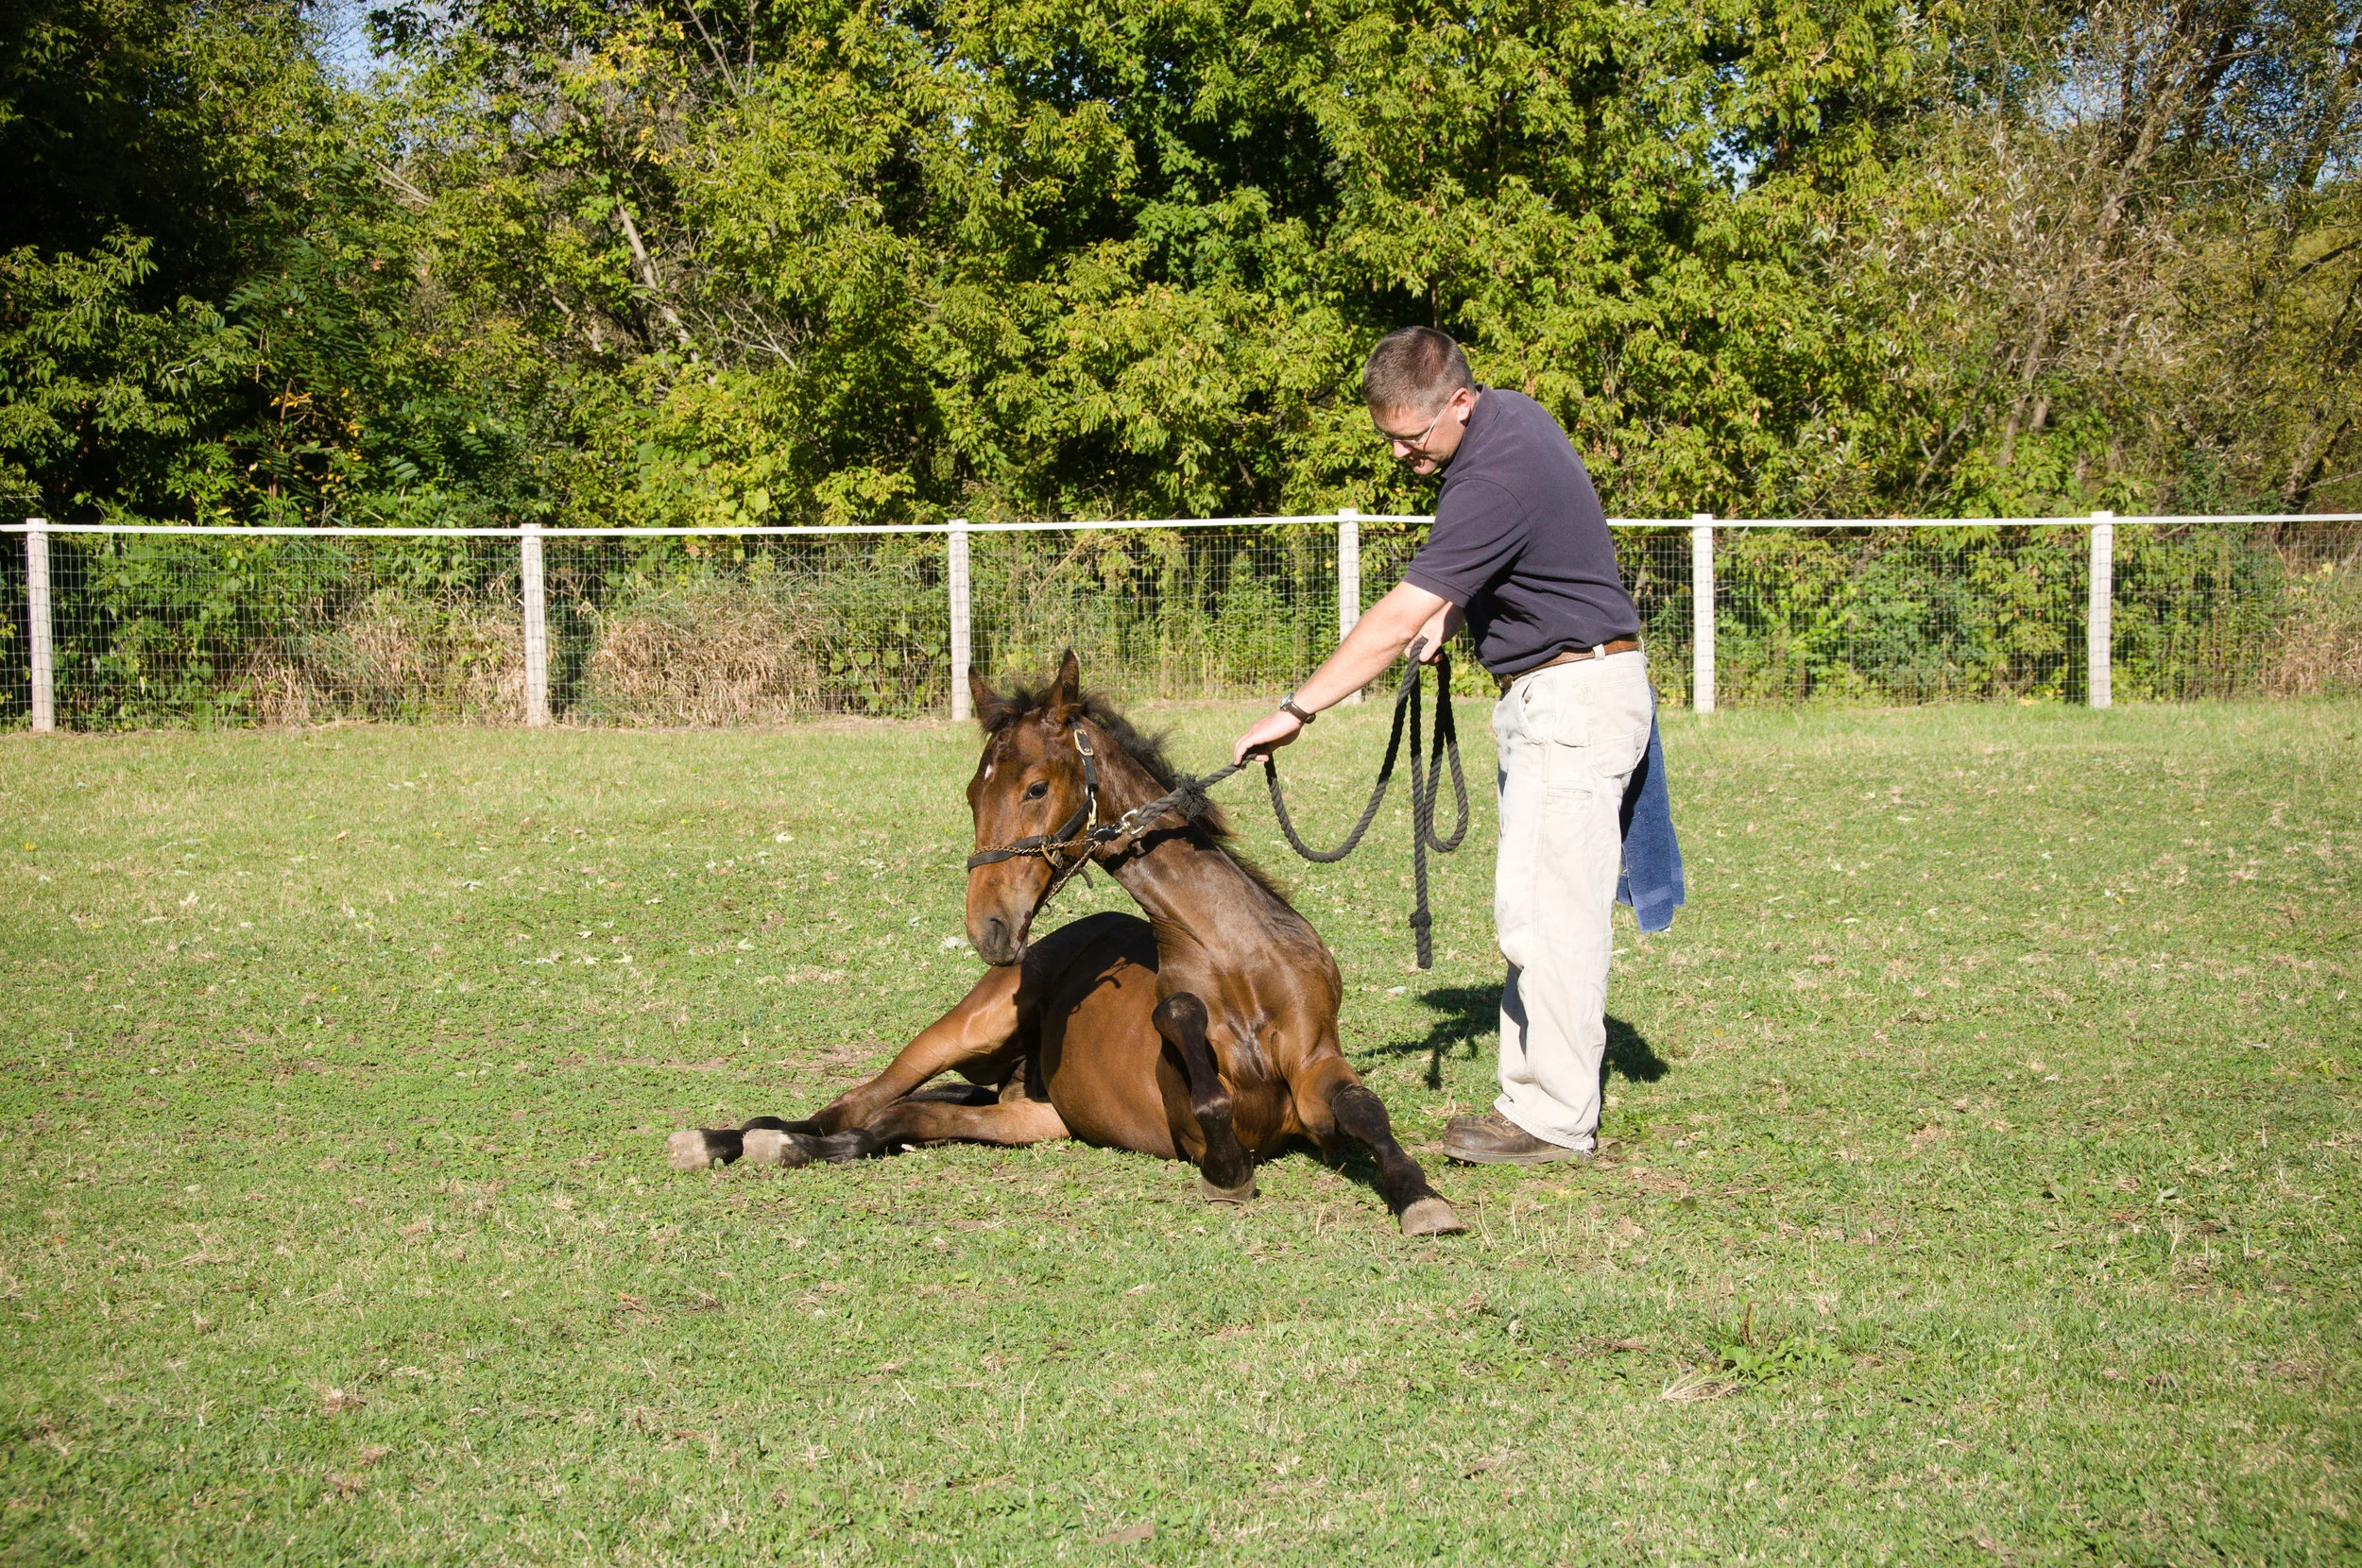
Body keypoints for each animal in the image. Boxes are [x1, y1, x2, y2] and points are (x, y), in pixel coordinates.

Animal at [666, 651, 1465, 1236]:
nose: (988, 929)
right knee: (860, 1101)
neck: (1242, 962)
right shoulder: (1192, 1118)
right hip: (968, 1027)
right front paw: (1232, 1177)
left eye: (1035, 787)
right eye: (972, 793)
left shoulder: (1315, 1072)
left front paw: (1420, 1197)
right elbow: (1193, 1056)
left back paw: (784, 1144)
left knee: (899, 1120)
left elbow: (1364, 1111)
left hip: (1035, 1116)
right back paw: (736, 1140)